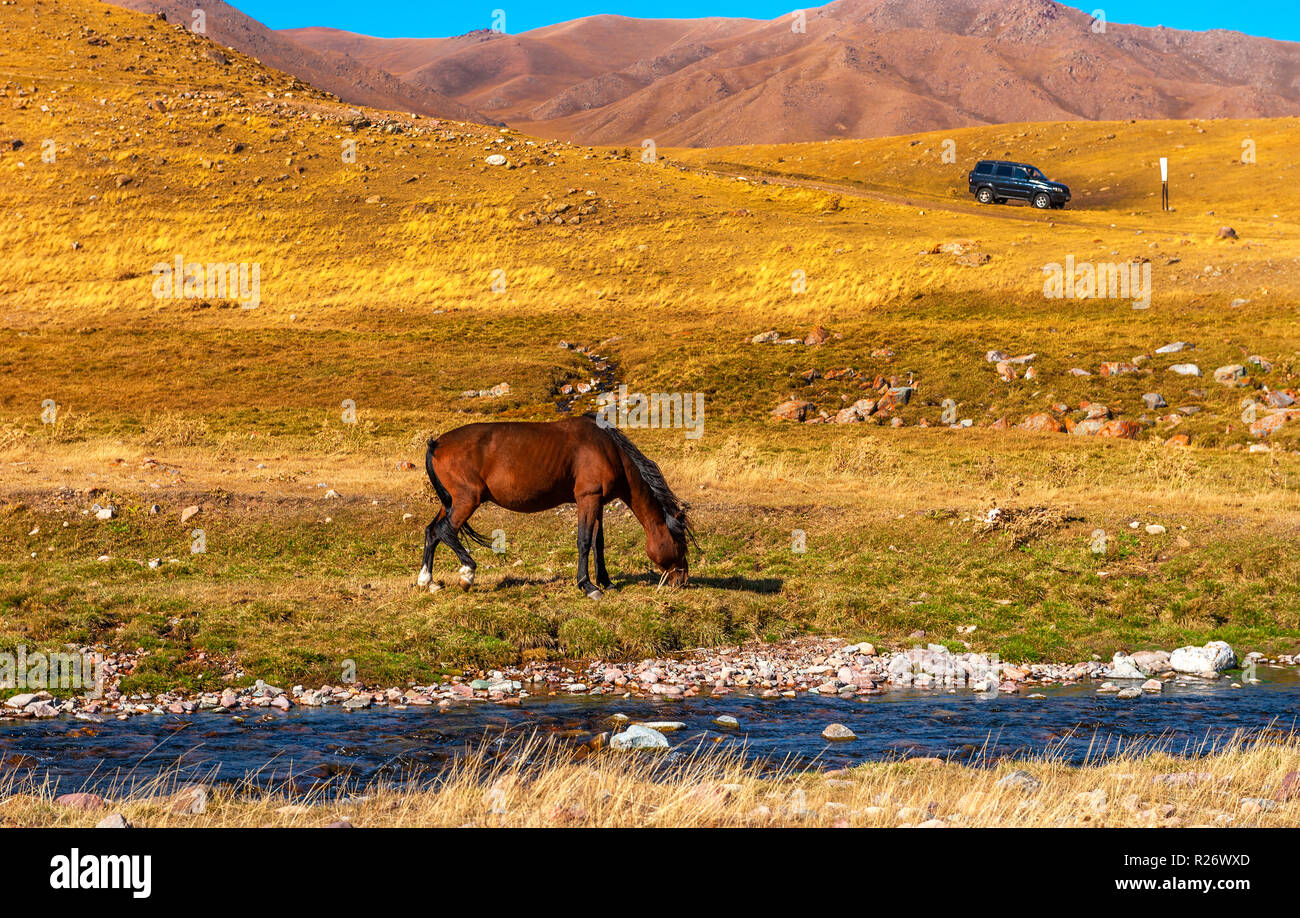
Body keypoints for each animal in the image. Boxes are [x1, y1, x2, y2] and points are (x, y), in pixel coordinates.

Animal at [418, 414, 692, 598]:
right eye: (680, 542)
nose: (682, 580)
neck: (607, 449)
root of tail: (436, 444)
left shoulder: (598, 502)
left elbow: (598, 543)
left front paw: (606, 582)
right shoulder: (587, 499)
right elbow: (584, 541)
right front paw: (588, 586)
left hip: (451, 503)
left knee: (432, 532)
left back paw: (427, 580)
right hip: (466, 500)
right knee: (445, 530)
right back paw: (467, 573)